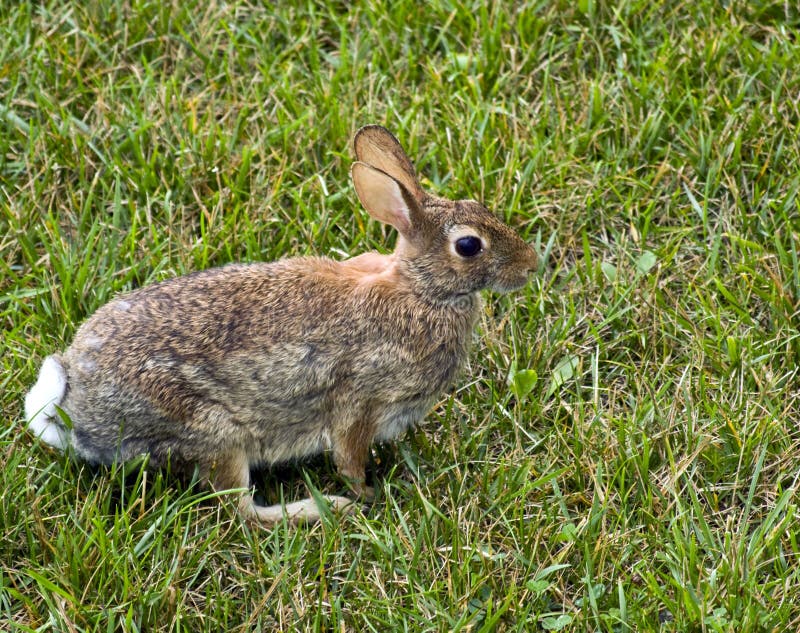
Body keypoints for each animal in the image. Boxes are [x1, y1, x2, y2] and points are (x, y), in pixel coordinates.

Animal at [24, 125, 538, 525]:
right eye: (469, 246)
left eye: (476, 203)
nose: (532, 265)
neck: (420, 290)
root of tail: (78, 414)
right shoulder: (360, 401)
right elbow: (349, 457)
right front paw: (367, 496)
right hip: (214, 431)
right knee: (241, 512)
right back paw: (320, 509)